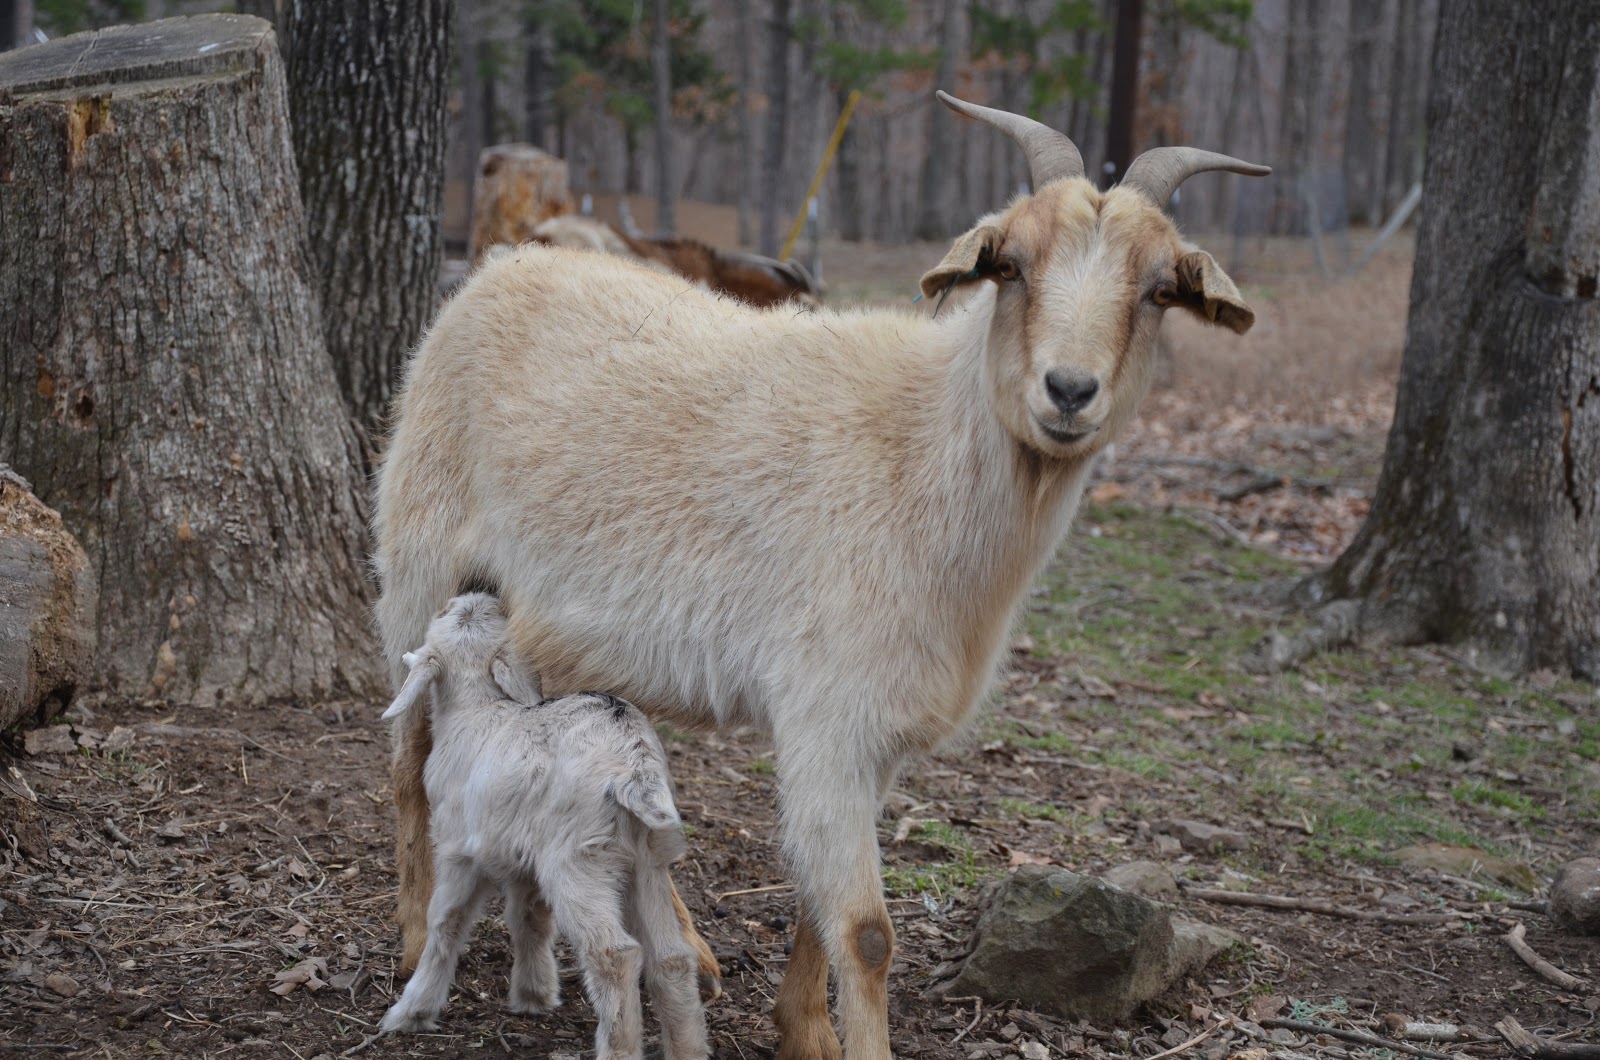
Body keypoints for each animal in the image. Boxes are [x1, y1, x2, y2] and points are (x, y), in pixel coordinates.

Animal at [377, 593, 707, 1060]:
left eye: (443, 612)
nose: (474, 595)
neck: (478, 708)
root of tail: (634, 764)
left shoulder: (458, 848)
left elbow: (446, 922)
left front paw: (411, 1011)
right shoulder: (520, 854)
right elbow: (529, 916)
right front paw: (535, 996)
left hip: (577, 860)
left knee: (616, 954)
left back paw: (618, 1047)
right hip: (646, 861)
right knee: (672, 958)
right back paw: (689, 1047)